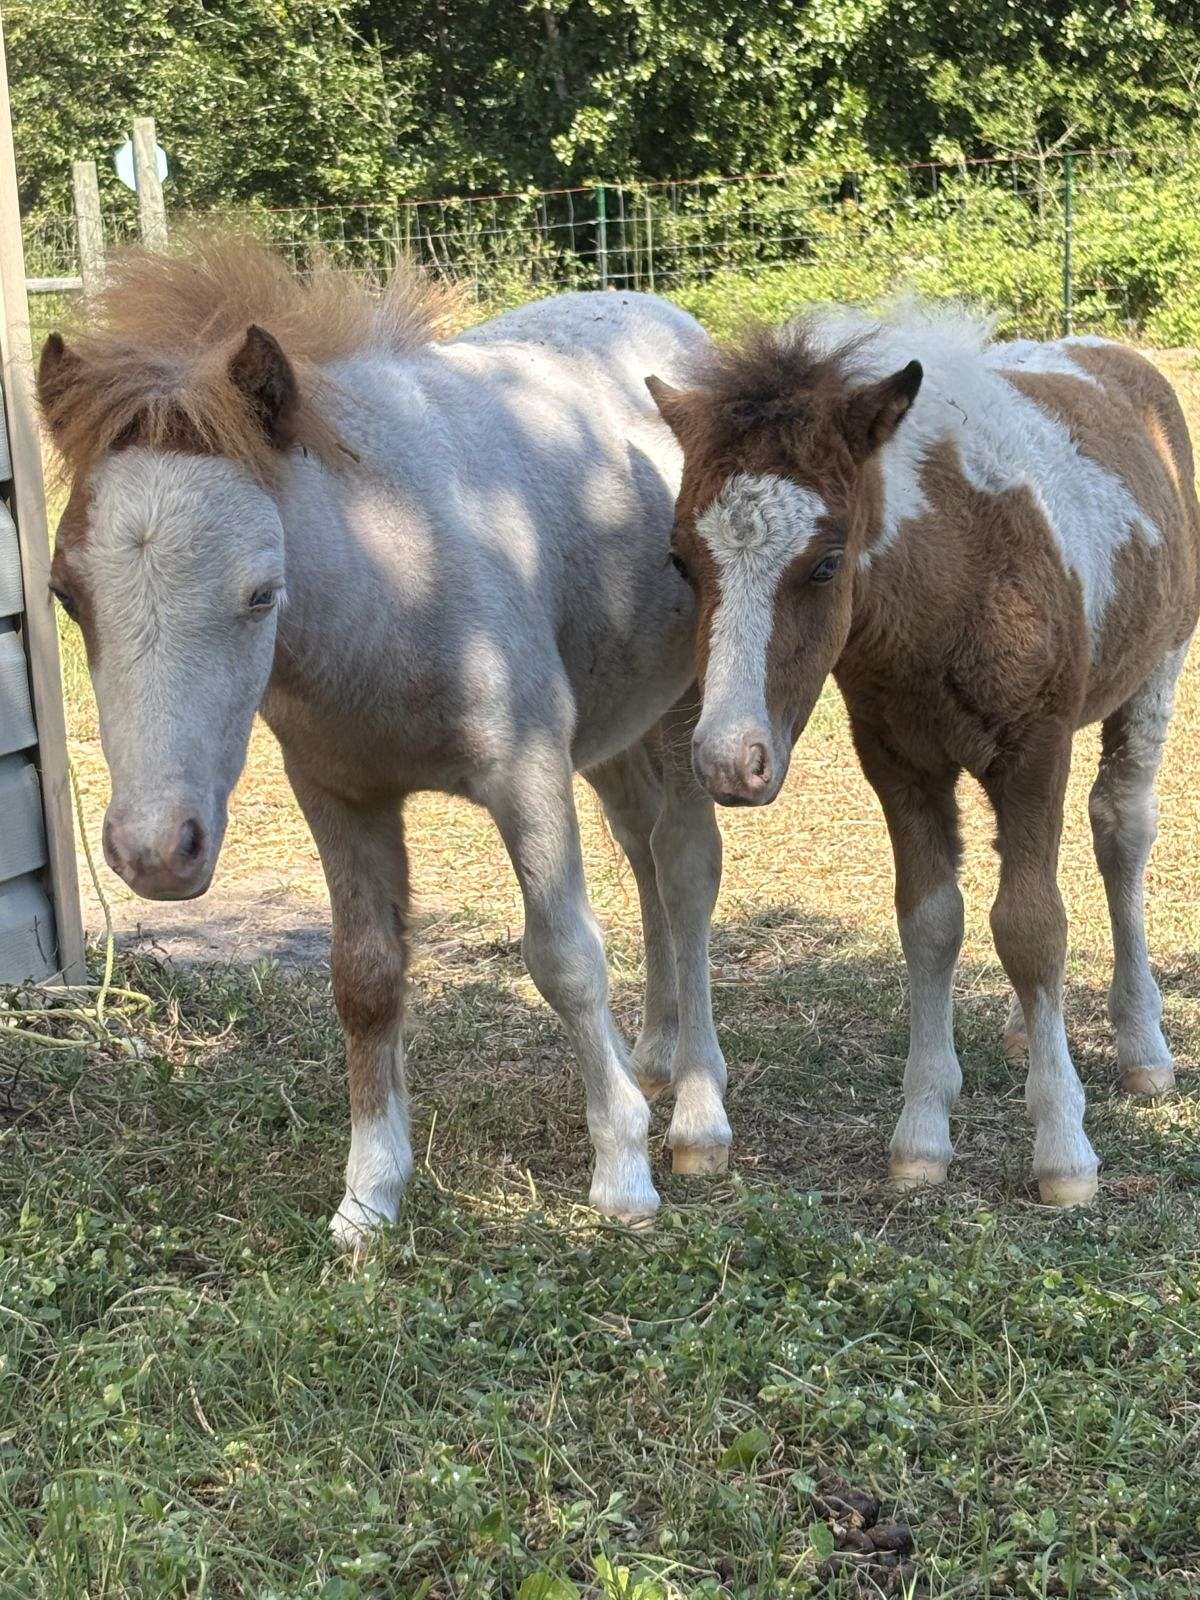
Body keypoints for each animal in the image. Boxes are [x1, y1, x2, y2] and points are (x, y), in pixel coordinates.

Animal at [37, 236, 735, 1246]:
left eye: (260, 592)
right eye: (65, 595)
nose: (156, 852)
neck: (394, 581)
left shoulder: (526, 773)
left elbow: (564, 957)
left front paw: (622, 1175)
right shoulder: (339, 792)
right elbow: (364, 979)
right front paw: (369, 1199)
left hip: (683, 705)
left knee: (684, 870)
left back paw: (698, 1112)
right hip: (613, 731)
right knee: (643, 855)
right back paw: (655, 1049)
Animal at [646, 303, 1200, 1206]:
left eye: (827, 562)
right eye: (681, 561)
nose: (730, 760)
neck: (957, 580)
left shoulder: (1034, 750)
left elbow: (1032, 926)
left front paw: (1064, 1150)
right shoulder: (898, 762)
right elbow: (934, 922)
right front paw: (922, 1136)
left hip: (1159, 666)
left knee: (1120, 831)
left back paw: (1144, 1048)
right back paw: (1025, 1033)